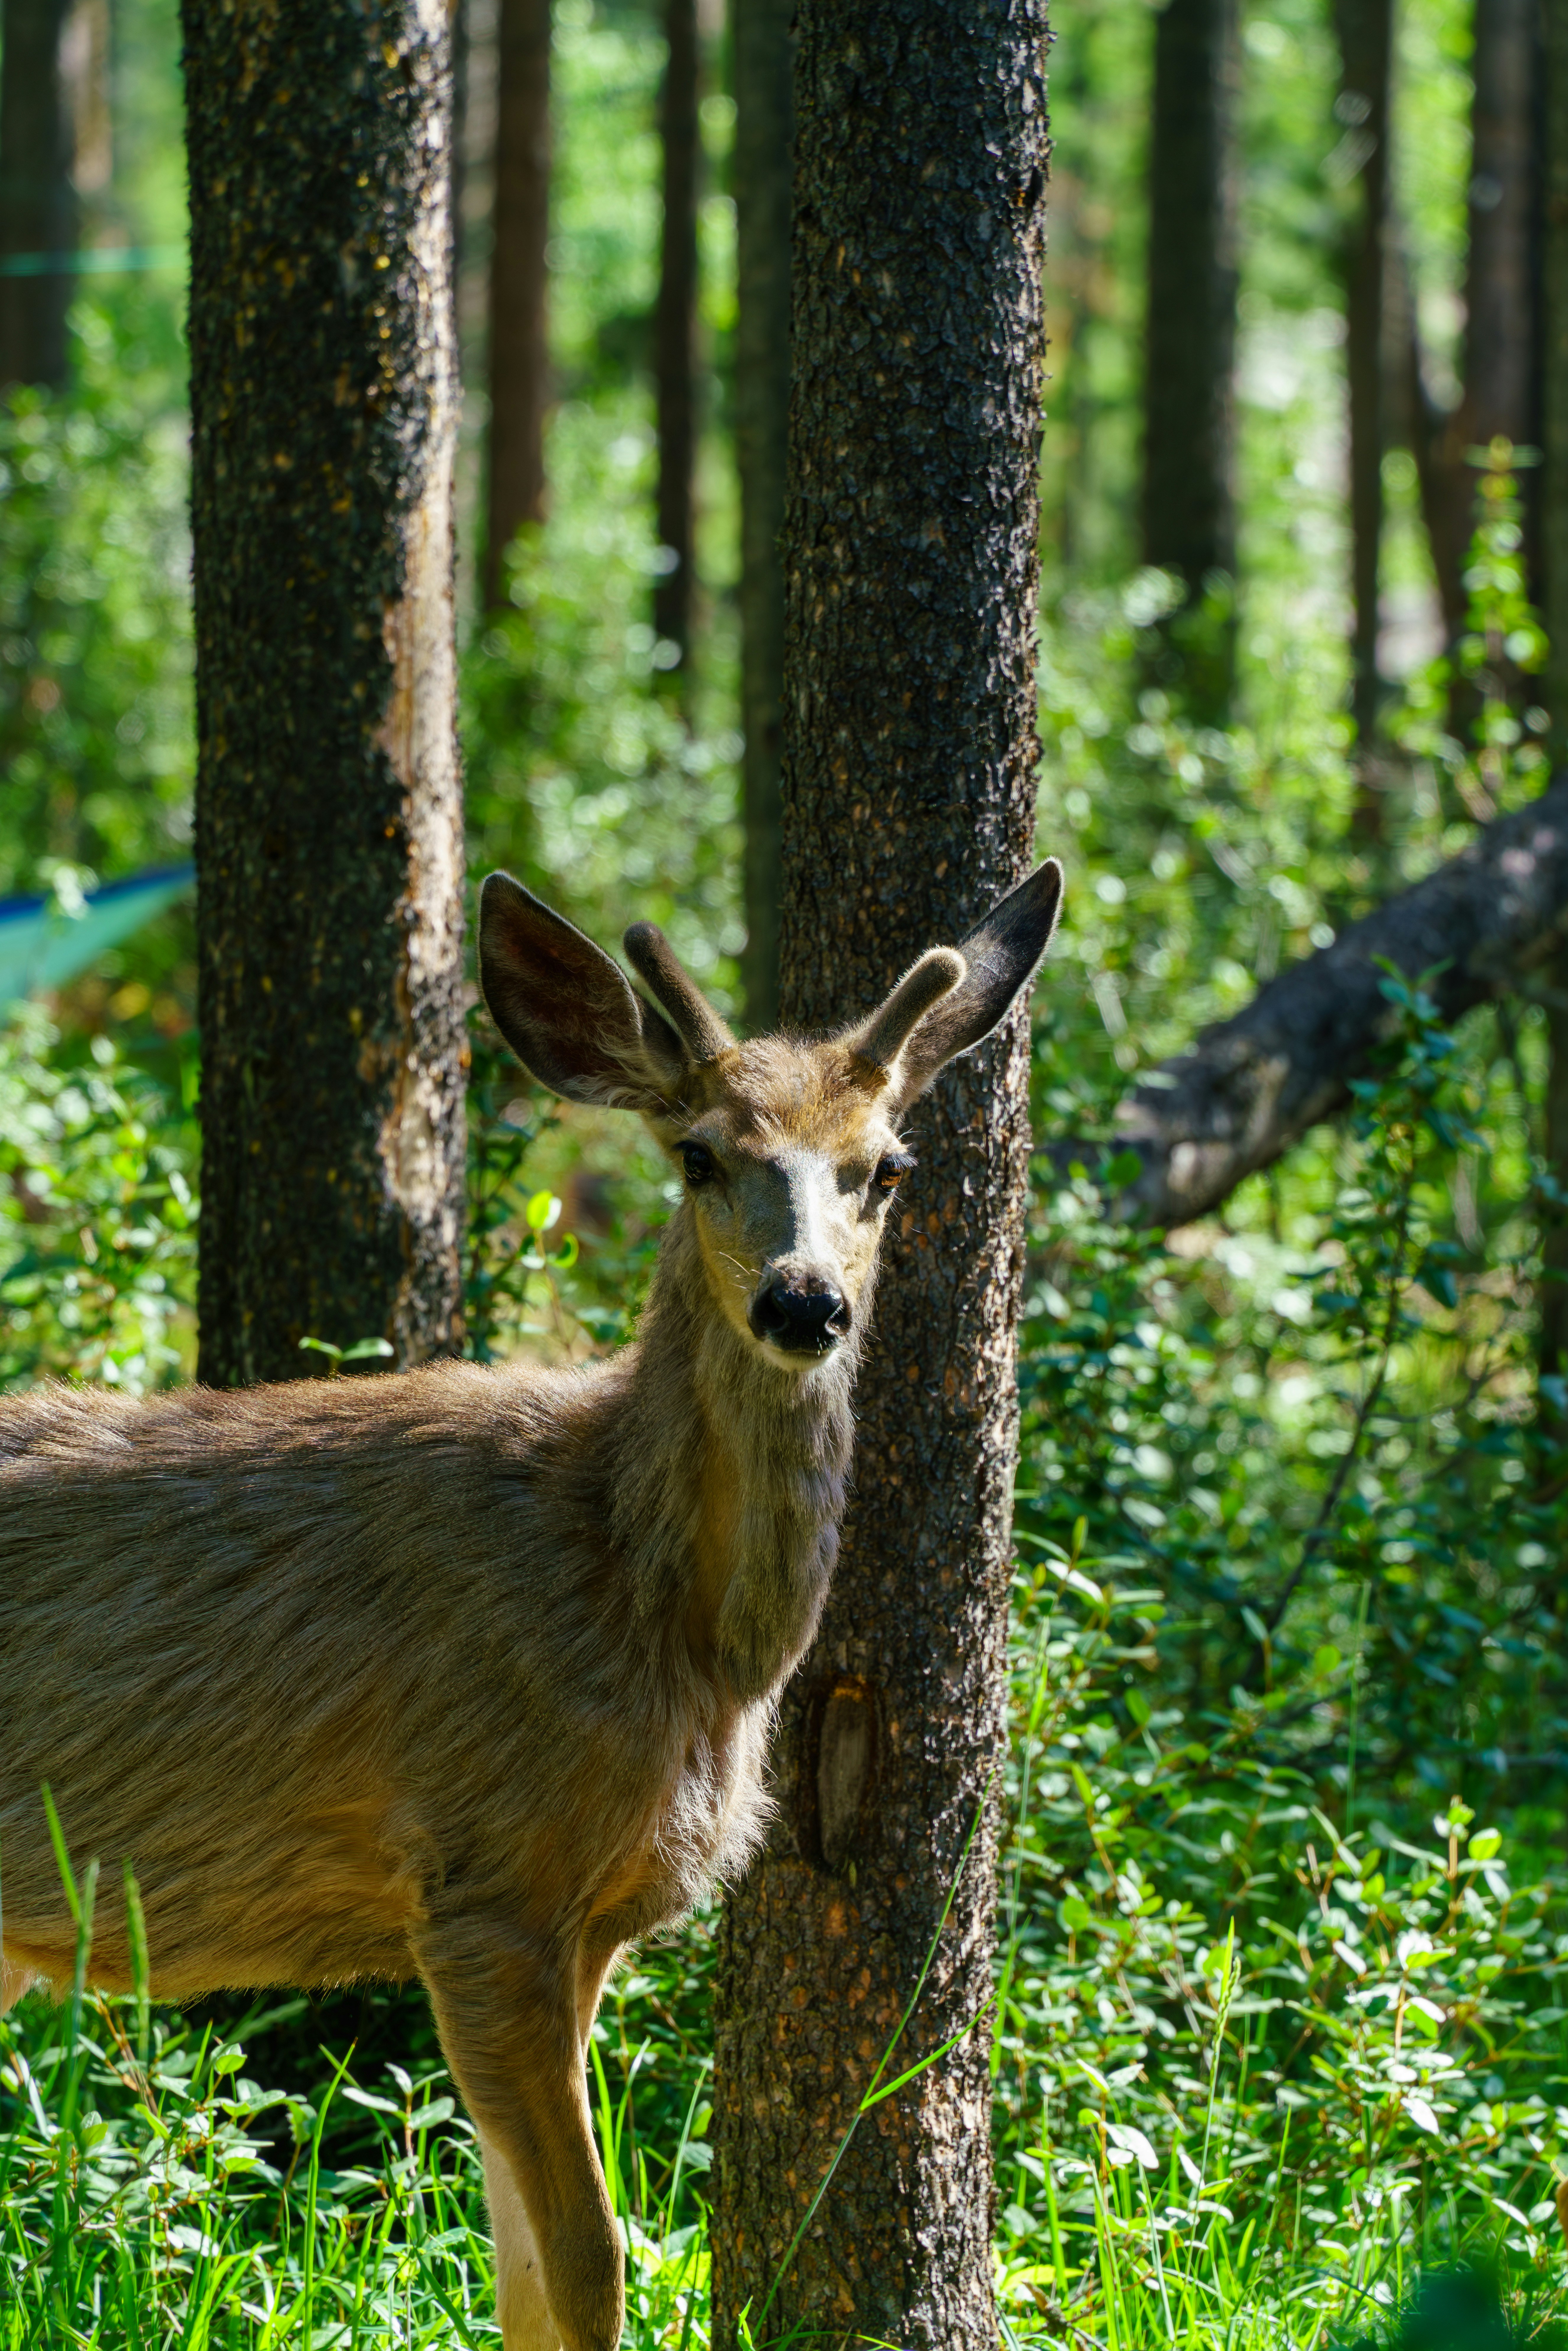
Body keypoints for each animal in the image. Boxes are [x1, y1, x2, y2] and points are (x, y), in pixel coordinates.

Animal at [0, 856, 1063, 2351]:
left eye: (887, 1167)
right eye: (699, 1154)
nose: (805, 1305)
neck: (665, 1614)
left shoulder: (588, 1918)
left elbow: (519, 2263)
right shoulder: (482, 1880)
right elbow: (588, 2255)